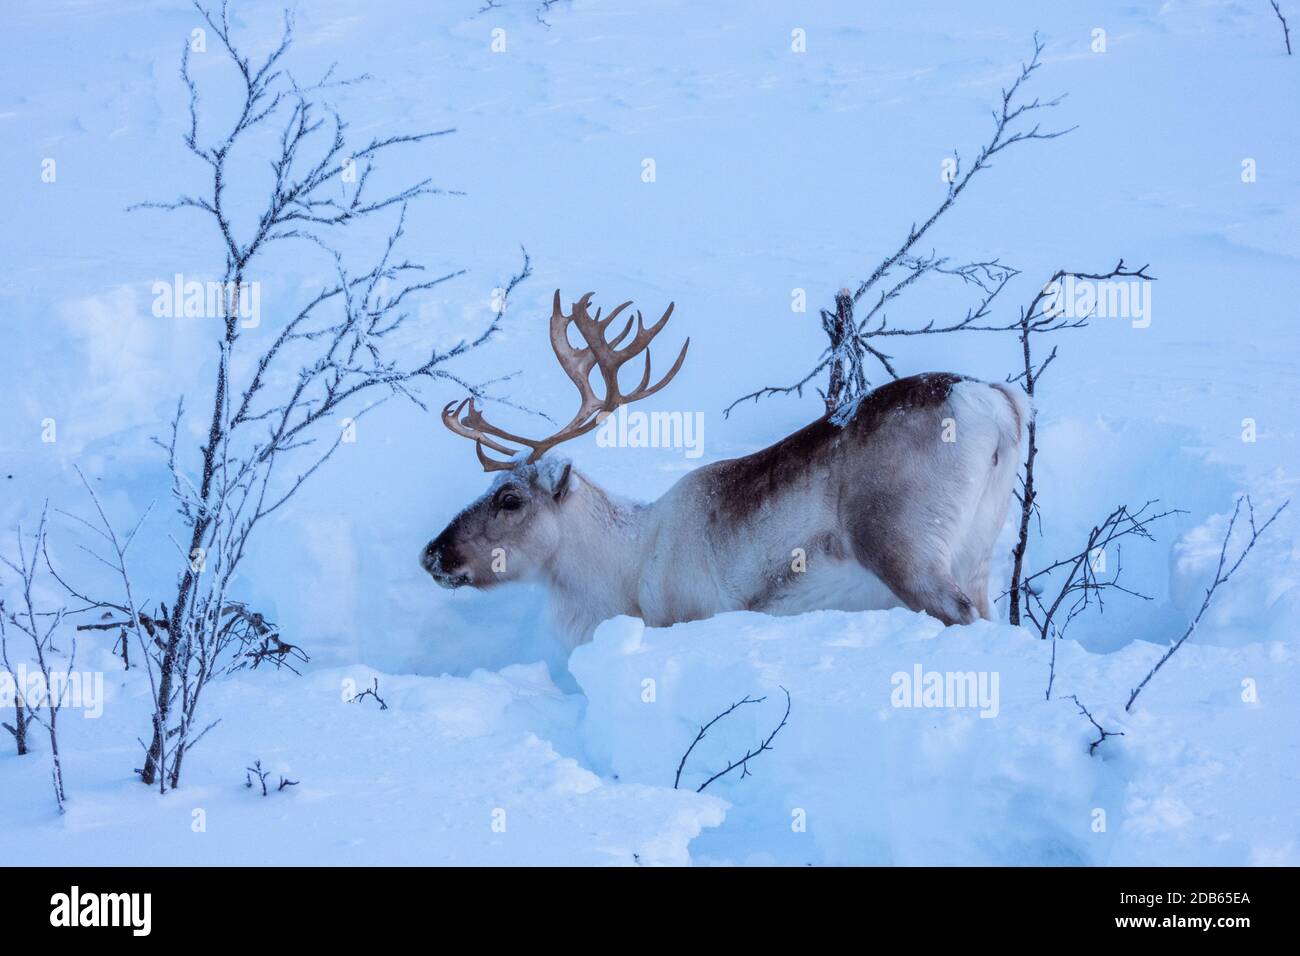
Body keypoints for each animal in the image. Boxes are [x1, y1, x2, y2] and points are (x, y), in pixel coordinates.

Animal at [422, 291, 1028, 646]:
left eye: (510, 500)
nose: (432, 553)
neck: (624, 570)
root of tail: (994, 401)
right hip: (977, 551)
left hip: (903, 546)